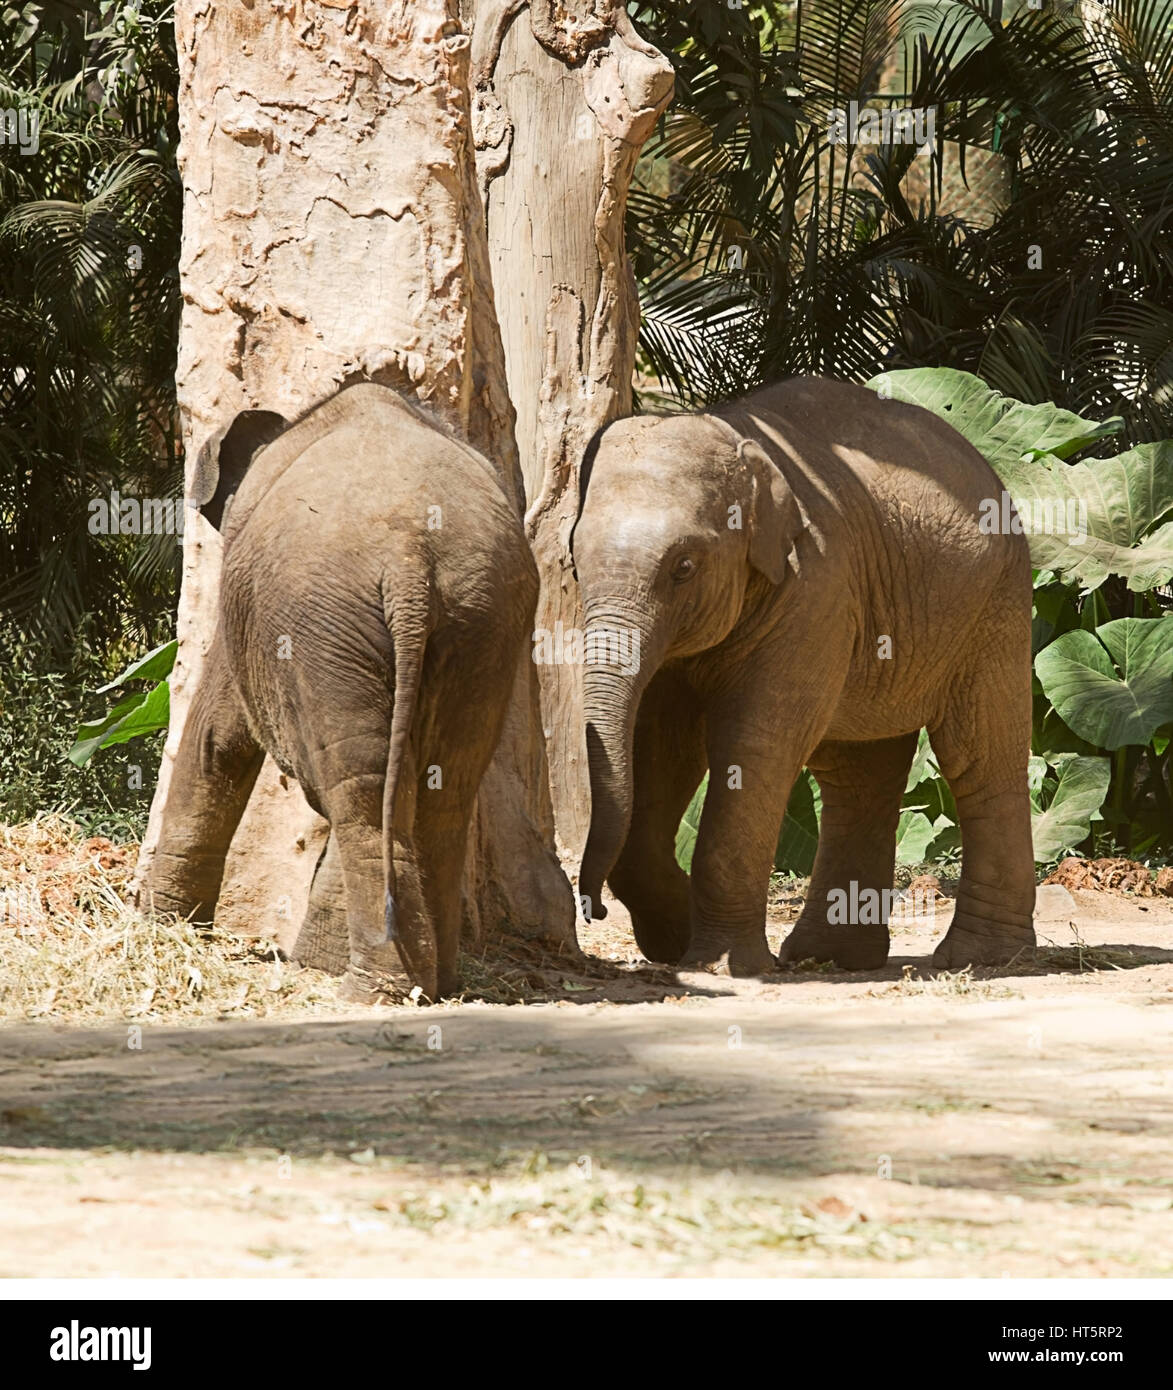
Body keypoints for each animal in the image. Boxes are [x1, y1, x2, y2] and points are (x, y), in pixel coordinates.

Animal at [141, 382, 538, 1002]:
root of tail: (411, 554)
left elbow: (216, 737)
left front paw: (157, 927)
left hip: (325, 625)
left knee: (361, 789)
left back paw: (370, 987)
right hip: (485, 620)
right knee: (439, 785)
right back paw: (430, 983)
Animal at [572, 376, 1036, 976]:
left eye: (684, 567)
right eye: (574, 563)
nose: (595, 911)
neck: (732, 435)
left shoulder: (815, 586)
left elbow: (756, 745)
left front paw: (719, 965)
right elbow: (661, 742)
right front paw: (677, 939)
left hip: (993, 605)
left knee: (980, 756)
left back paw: (979, 959)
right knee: (857, 772)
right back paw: (832, 958)